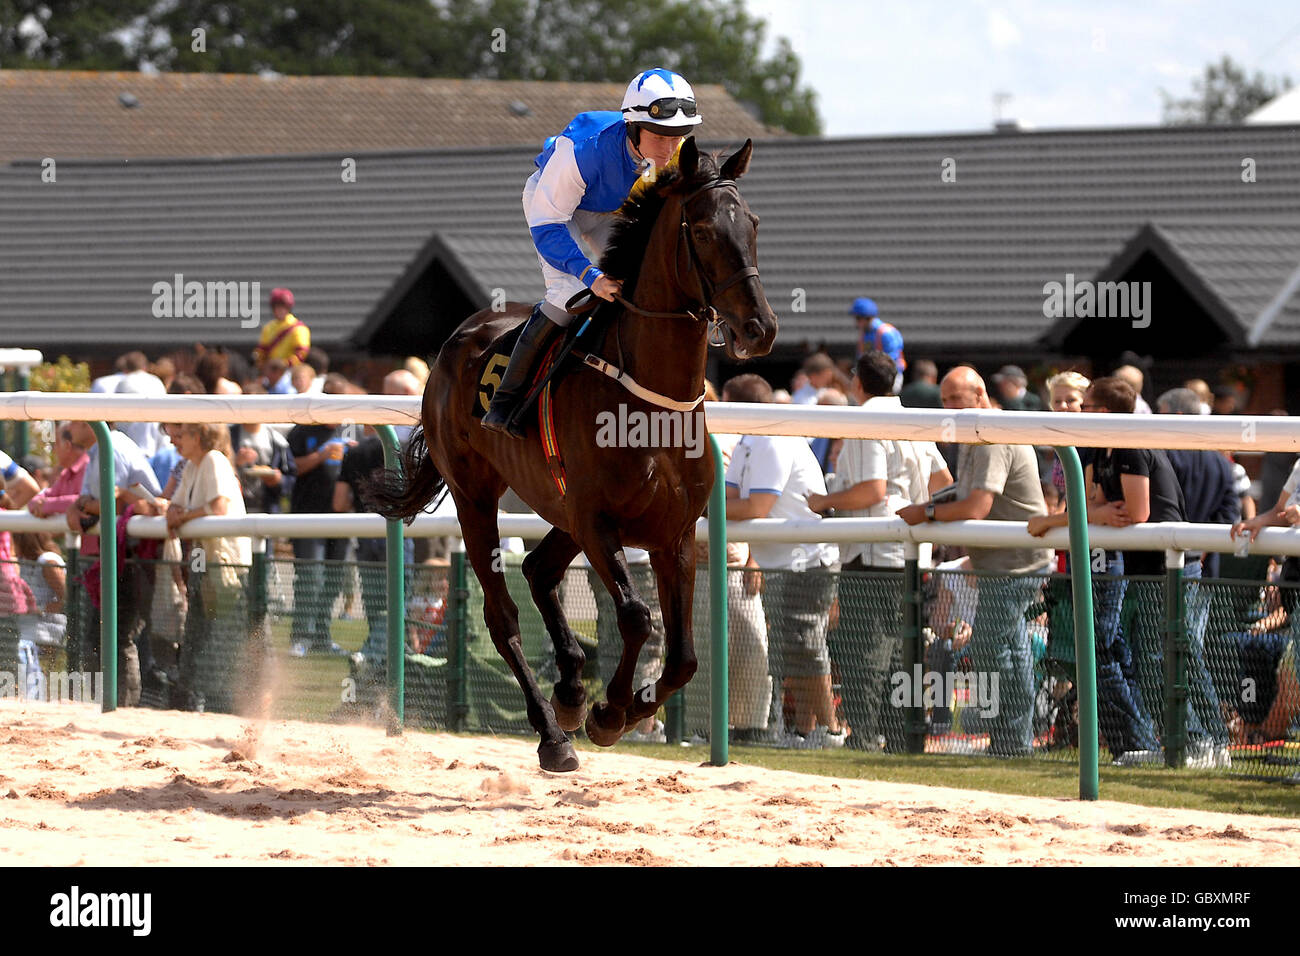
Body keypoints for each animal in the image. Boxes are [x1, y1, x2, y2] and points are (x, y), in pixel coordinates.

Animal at [368, 137, 777, 771]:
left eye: (753, 223)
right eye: (707, 230)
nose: (760, 329)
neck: (650, 402)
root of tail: (457, 340)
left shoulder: (674, 532)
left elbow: (683, 656)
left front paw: (621, 707)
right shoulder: (598, 520)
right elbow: (635, 617)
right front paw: (609, 713)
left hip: (560, 509)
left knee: (539, 570)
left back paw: (568, 691)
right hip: (477, 496)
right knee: (502, 615)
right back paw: (553, 732)